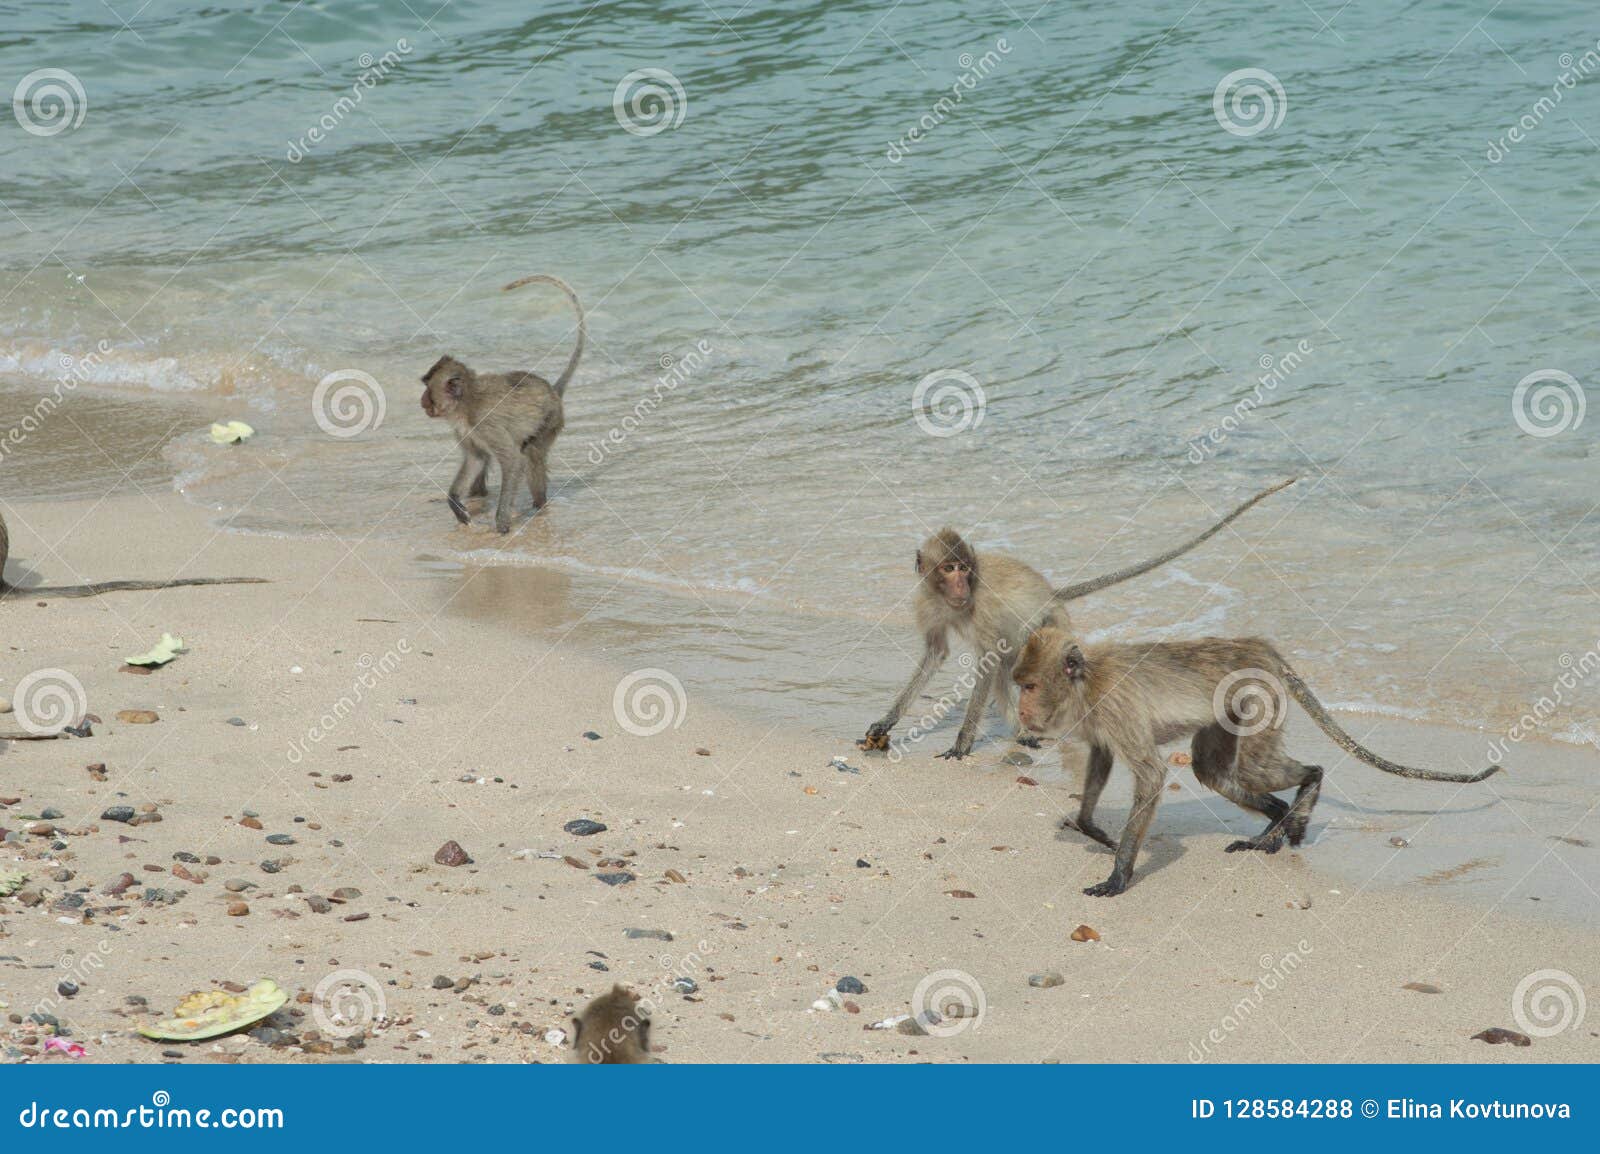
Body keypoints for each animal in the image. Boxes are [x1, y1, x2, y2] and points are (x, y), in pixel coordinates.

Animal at [421, 274, 585, 534]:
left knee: (531, 453)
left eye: (428, 388)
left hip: (551, 420)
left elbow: (513, 461)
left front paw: (502, 524)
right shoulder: (464, 428)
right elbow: (476, 458)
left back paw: (538, 507)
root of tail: (553, 391)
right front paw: (455, 504)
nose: (423, 400)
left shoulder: (485, 423)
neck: (467, 403)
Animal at [863, 478, 1297, 760]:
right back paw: (1021, 732)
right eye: (949, 568)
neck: (952, 601)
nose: (961, 584)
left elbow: (985, 663)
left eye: (965, 569)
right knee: (1008, 664)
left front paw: (963, 742)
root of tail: (1053, 594)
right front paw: (886, 722)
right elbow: (936, 655)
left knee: (1016, 660)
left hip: (1051, 622)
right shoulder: (927, 604)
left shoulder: (980, 606)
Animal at [1011, 625, 1500, 897]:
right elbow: (1101, 761)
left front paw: (1119, 875)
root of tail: (1257, 647)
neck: (1087, 681)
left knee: (1251, 766)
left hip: (1257, 697)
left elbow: (1150, 775)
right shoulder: (1101, 722)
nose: (1020, 710)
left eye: (1029, 686)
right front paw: (1090, 826)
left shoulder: (1115, 704)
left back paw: (1306, 788)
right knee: (1214, 769)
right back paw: (1278, 819)